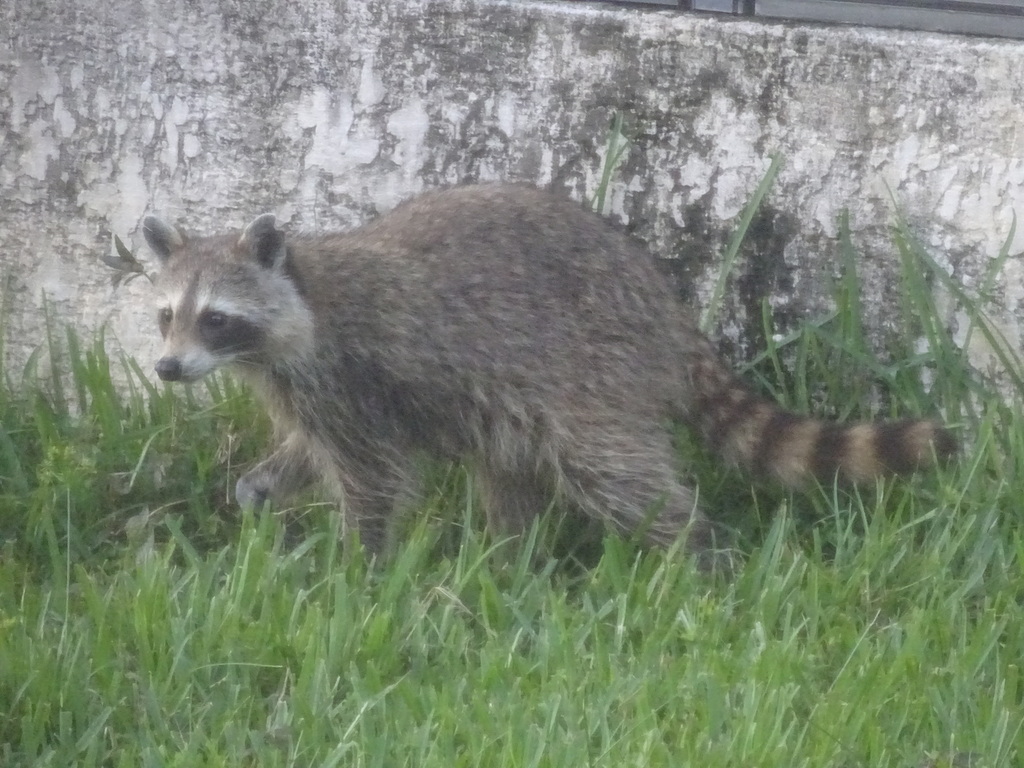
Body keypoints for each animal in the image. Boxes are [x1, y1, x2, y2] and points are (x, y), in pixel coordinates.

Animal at [142, 184, 955, 563]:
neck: (303, 298)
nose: (168, 369)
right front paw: (265, 482)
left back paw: (693, 552)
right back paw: (511, 561)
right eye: (167, 316)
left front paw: (359, 568)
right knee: (510, 469)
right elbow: (313, 451)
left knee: (616, 474)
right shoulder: (309, 393)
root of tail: (664, 306)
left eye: (215, 318)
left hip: (591, 367)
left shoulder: (352, 379)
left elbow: (376, 479)